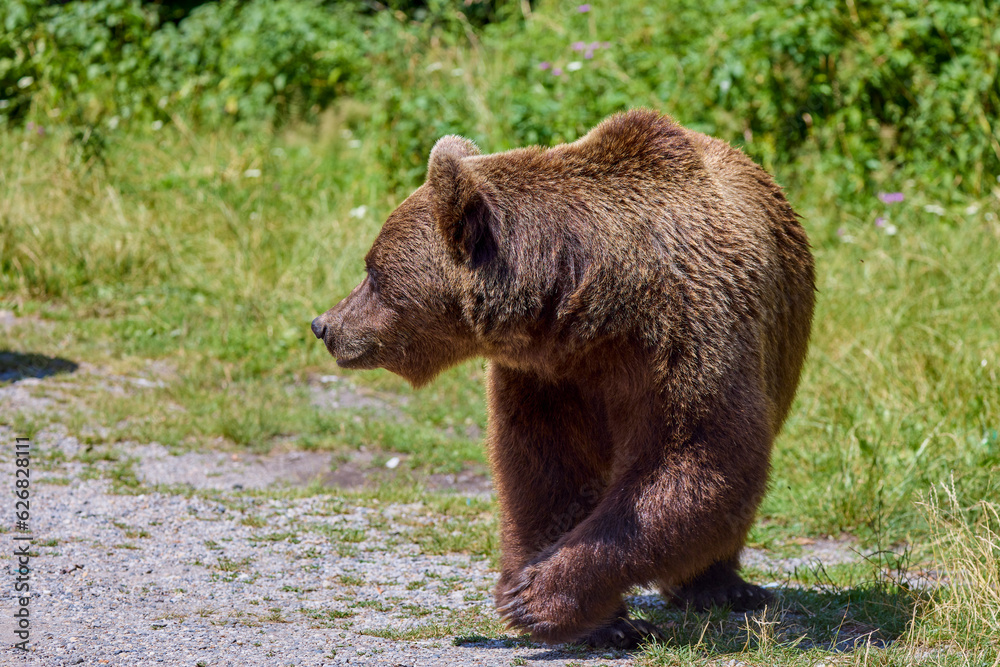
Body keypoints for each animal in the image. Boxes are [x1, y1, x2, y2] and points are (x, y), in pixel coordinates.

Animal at [310, 109, 815, 647]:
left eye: (372, 271)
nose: (324, 325)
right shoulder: (550, 374)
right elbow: (545, 467)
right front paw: (595, 618)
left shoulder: (687, 336)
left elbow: (701, 457)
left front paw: (536, 597)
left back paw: (722, 587)